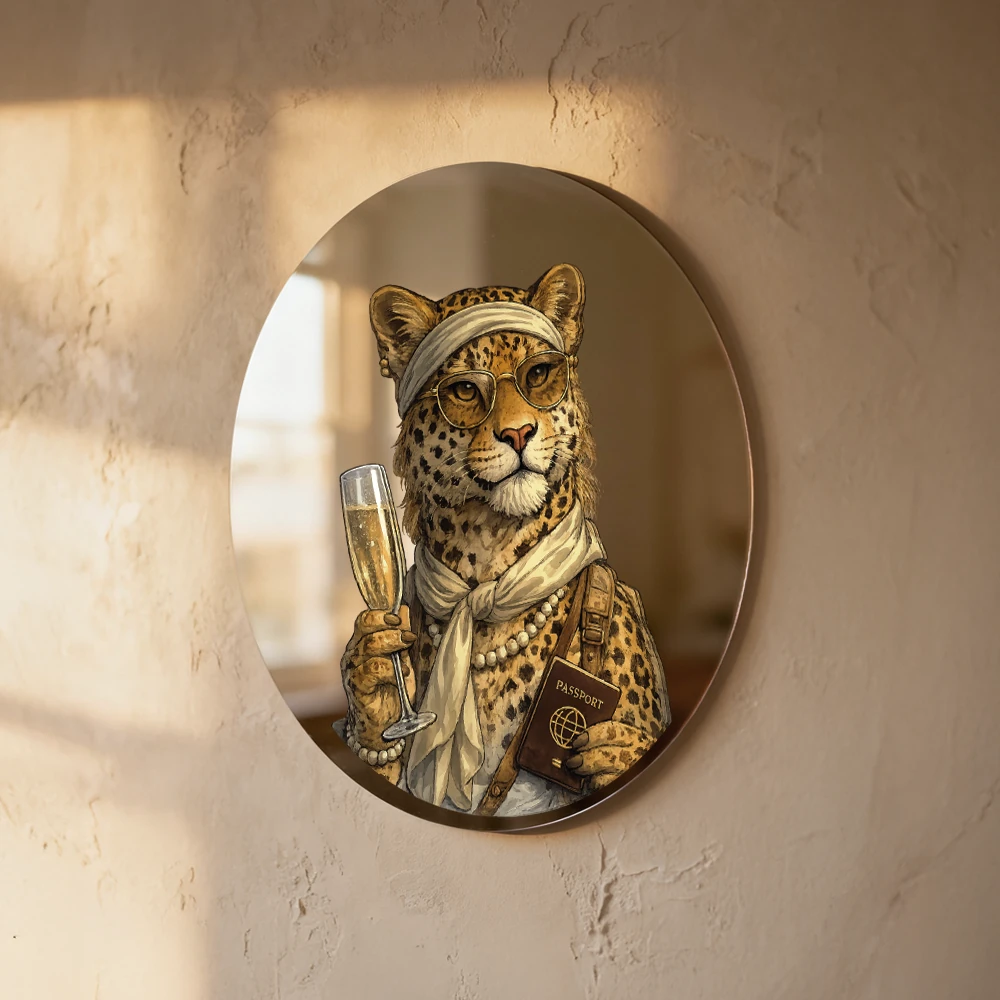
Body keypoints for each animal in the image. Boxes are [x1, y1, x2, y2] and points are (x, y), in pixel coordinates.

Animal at [339, 263, 670, 817]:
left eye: (537, 375)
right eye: (465, 391)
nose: (518, 434)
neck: (487, 566)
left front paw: (612, 751)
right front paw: (374, 674)